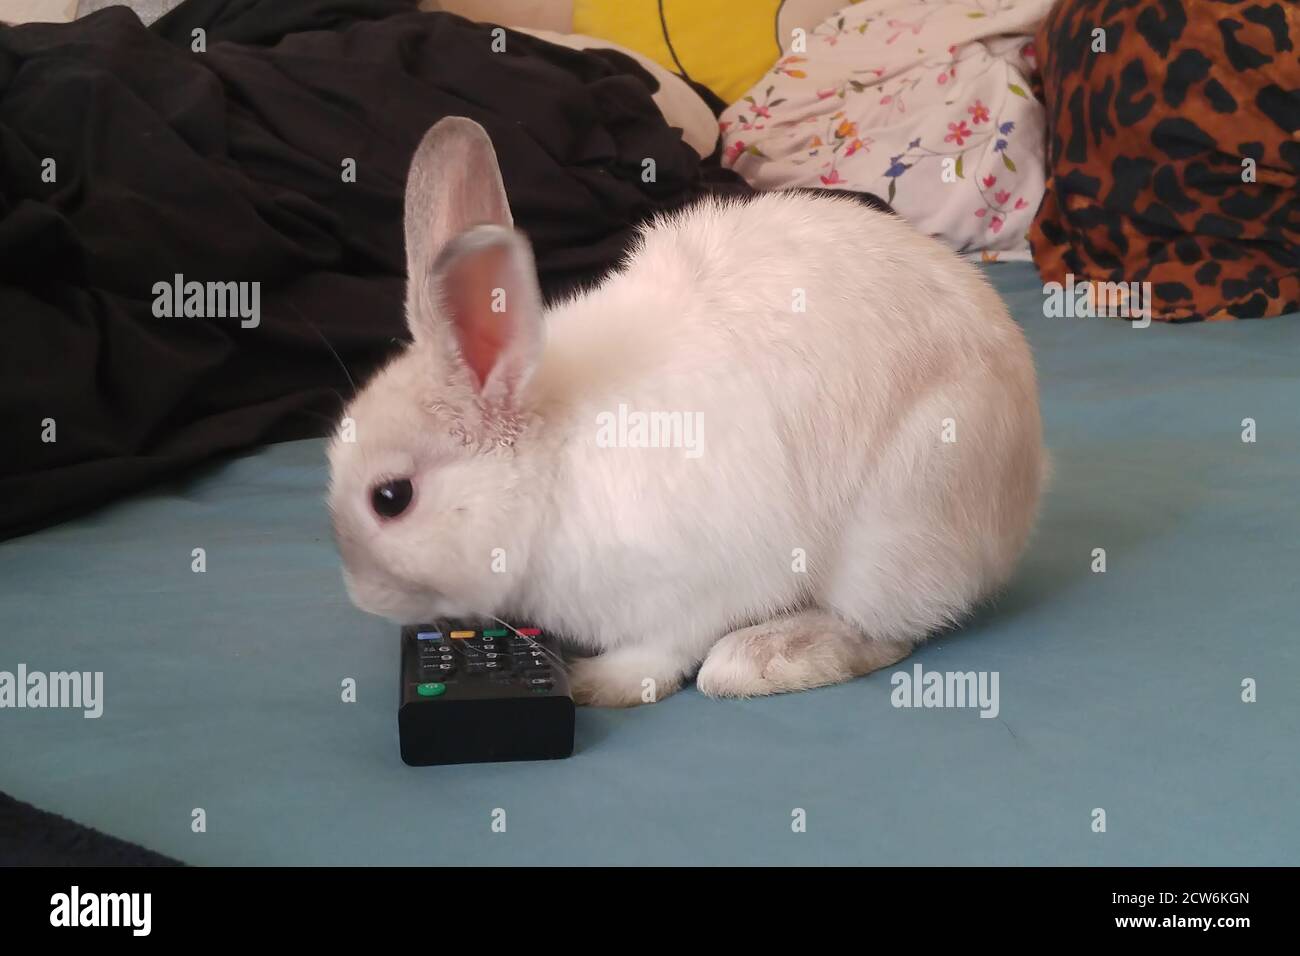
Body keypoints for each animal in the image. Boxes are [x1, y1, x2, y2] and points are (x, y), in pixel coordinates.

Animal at [328, 116, 1047, 707]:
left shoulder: (694, 586)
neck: (547, 460)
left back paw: (760, 659)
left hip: (894, 529)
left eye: (391, 498)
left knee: (884, 632)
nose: (360, 597)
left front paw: (598, 684)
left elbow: (662, 652)